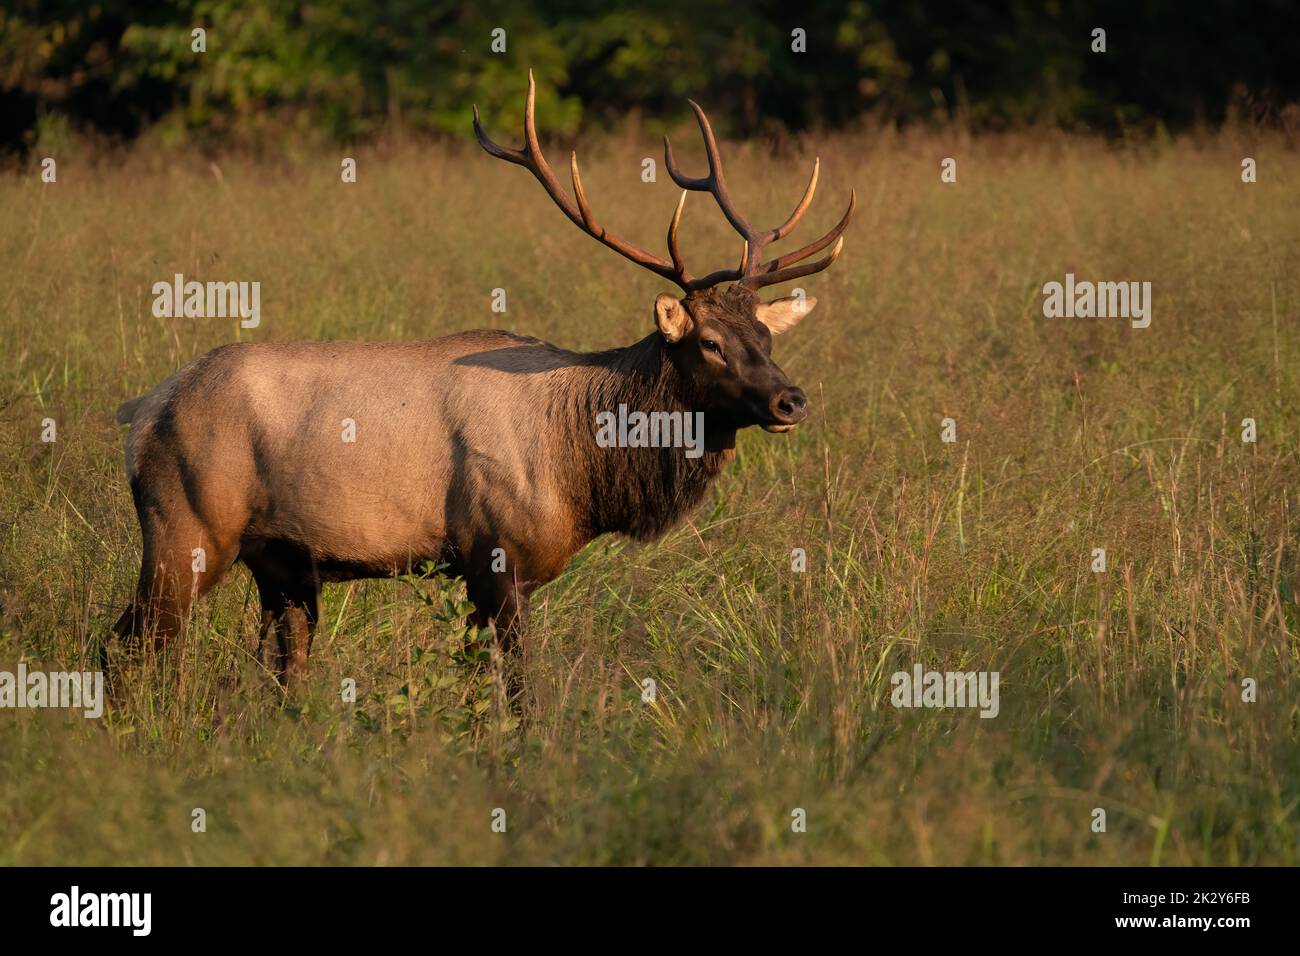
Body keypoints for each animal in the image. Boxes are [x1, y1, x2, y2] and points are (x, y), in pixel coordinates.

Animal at [111, 72, 854, 692]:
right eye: (710, 343)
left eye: (766, 337)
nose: (792, 399)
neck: (583, 470)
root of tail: (142, 410)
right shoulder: (496, 555)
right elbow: (518, 690)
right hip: (185, 529)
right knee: (127, 644)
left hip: (281, 562)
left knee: (276, 669)